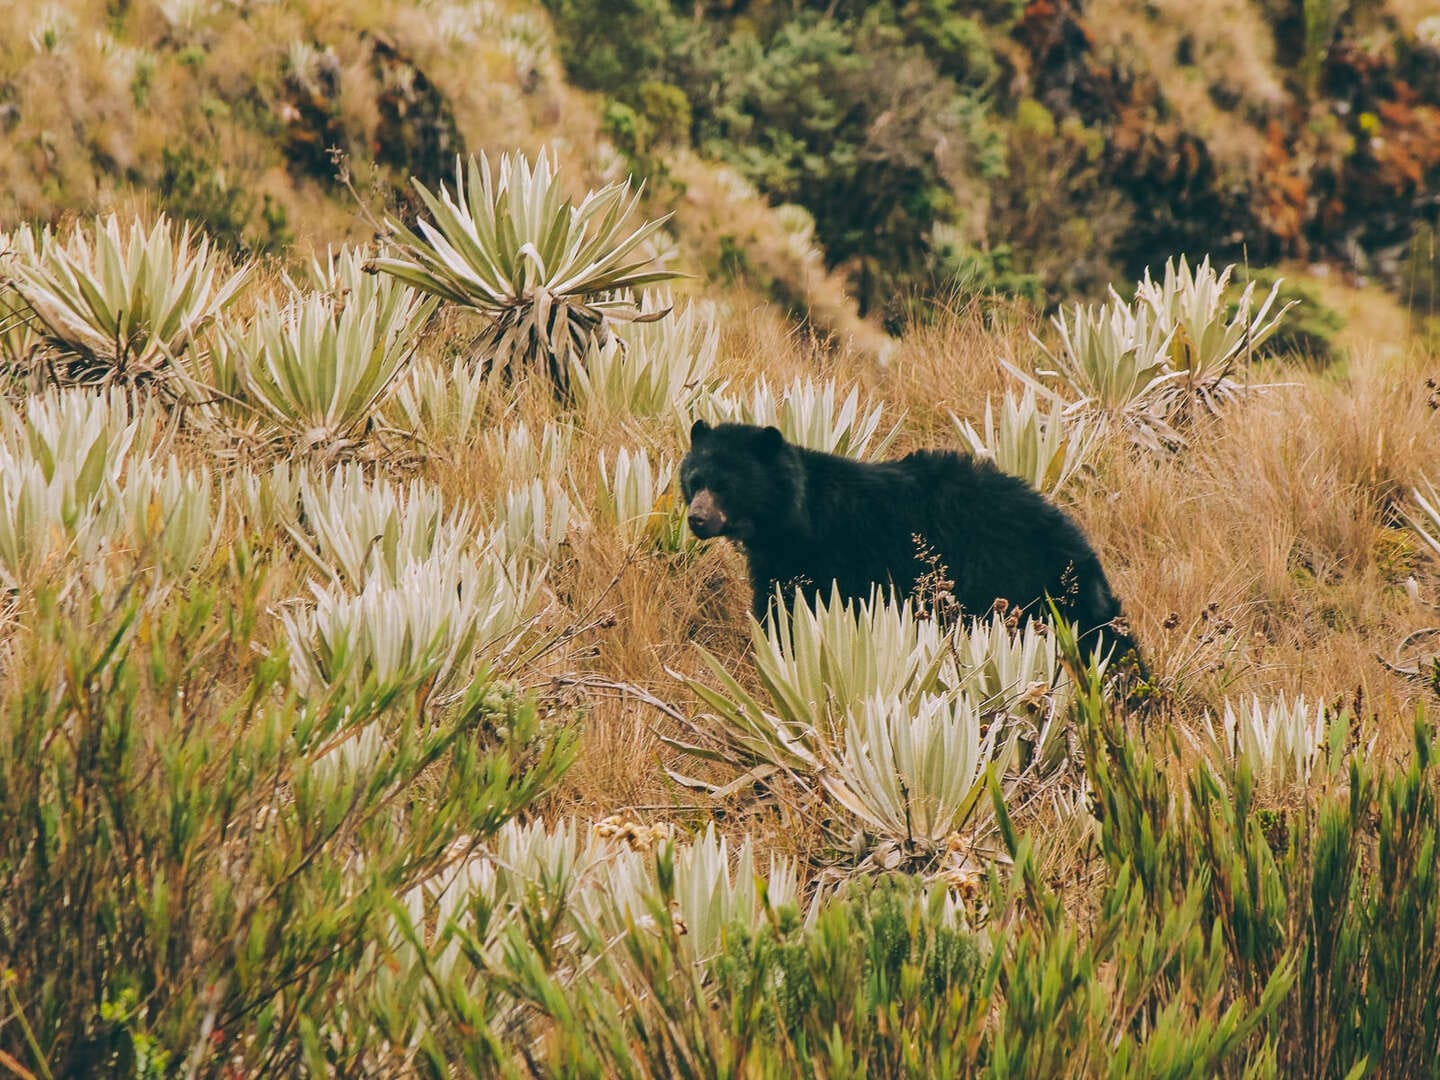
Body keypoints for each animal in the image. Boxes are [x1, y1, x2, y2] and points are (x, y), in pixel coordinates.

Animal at [680, 419, 1140, 664]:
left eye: (726, 486)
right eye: (694, 481)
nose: (697, 519)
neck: (794, 519)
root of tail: (1080, 545)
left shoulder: (836, 557)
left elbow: (795, 609)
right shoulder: (777, 559)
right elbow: (776, 603)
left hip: (1024, 587)